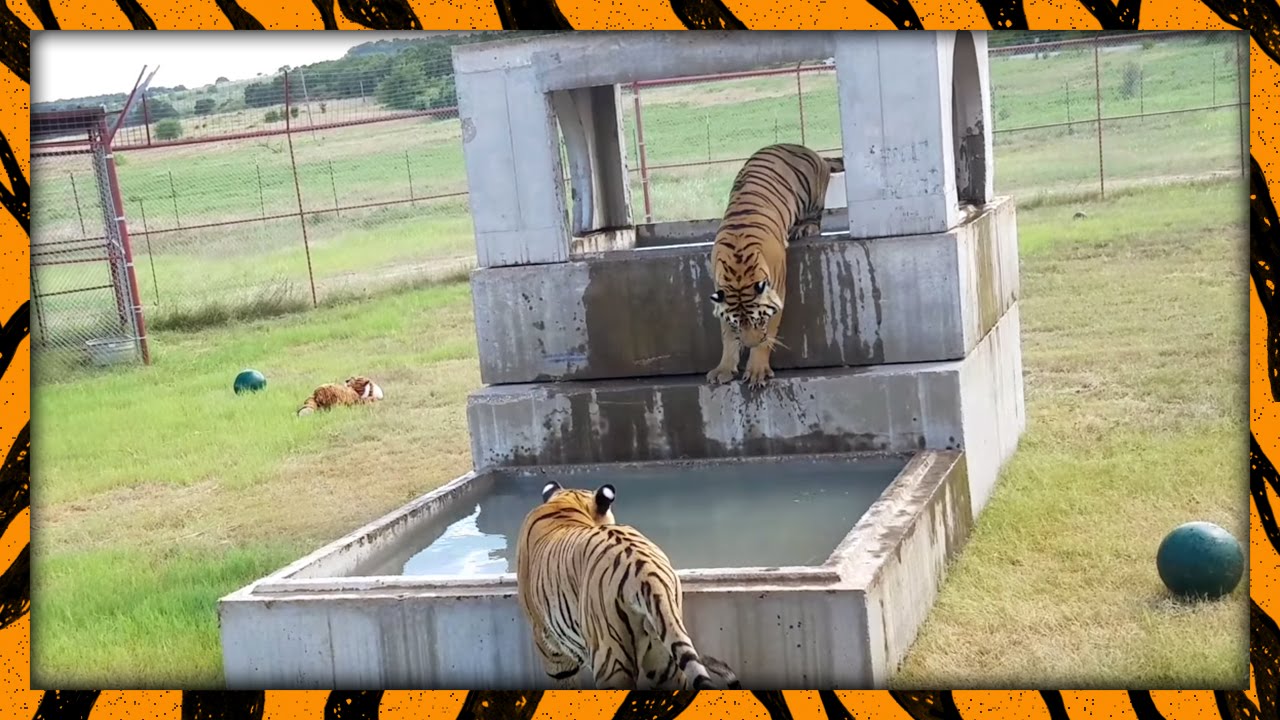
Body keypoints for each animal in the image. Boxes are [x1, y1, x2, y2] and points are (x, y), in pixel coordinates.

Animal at [706, 142, 845, 389]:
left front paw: (757, 371)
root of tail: (811, 152)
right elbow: (726, 336)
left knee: (816, 219)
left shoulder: (777, 292)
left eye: (759, 320)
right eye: (737, 323)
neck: (739, 266)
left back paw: (803, 228)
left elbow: (768, 335)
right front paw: (723, 369)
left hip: (813, 197)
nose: (749, 345)